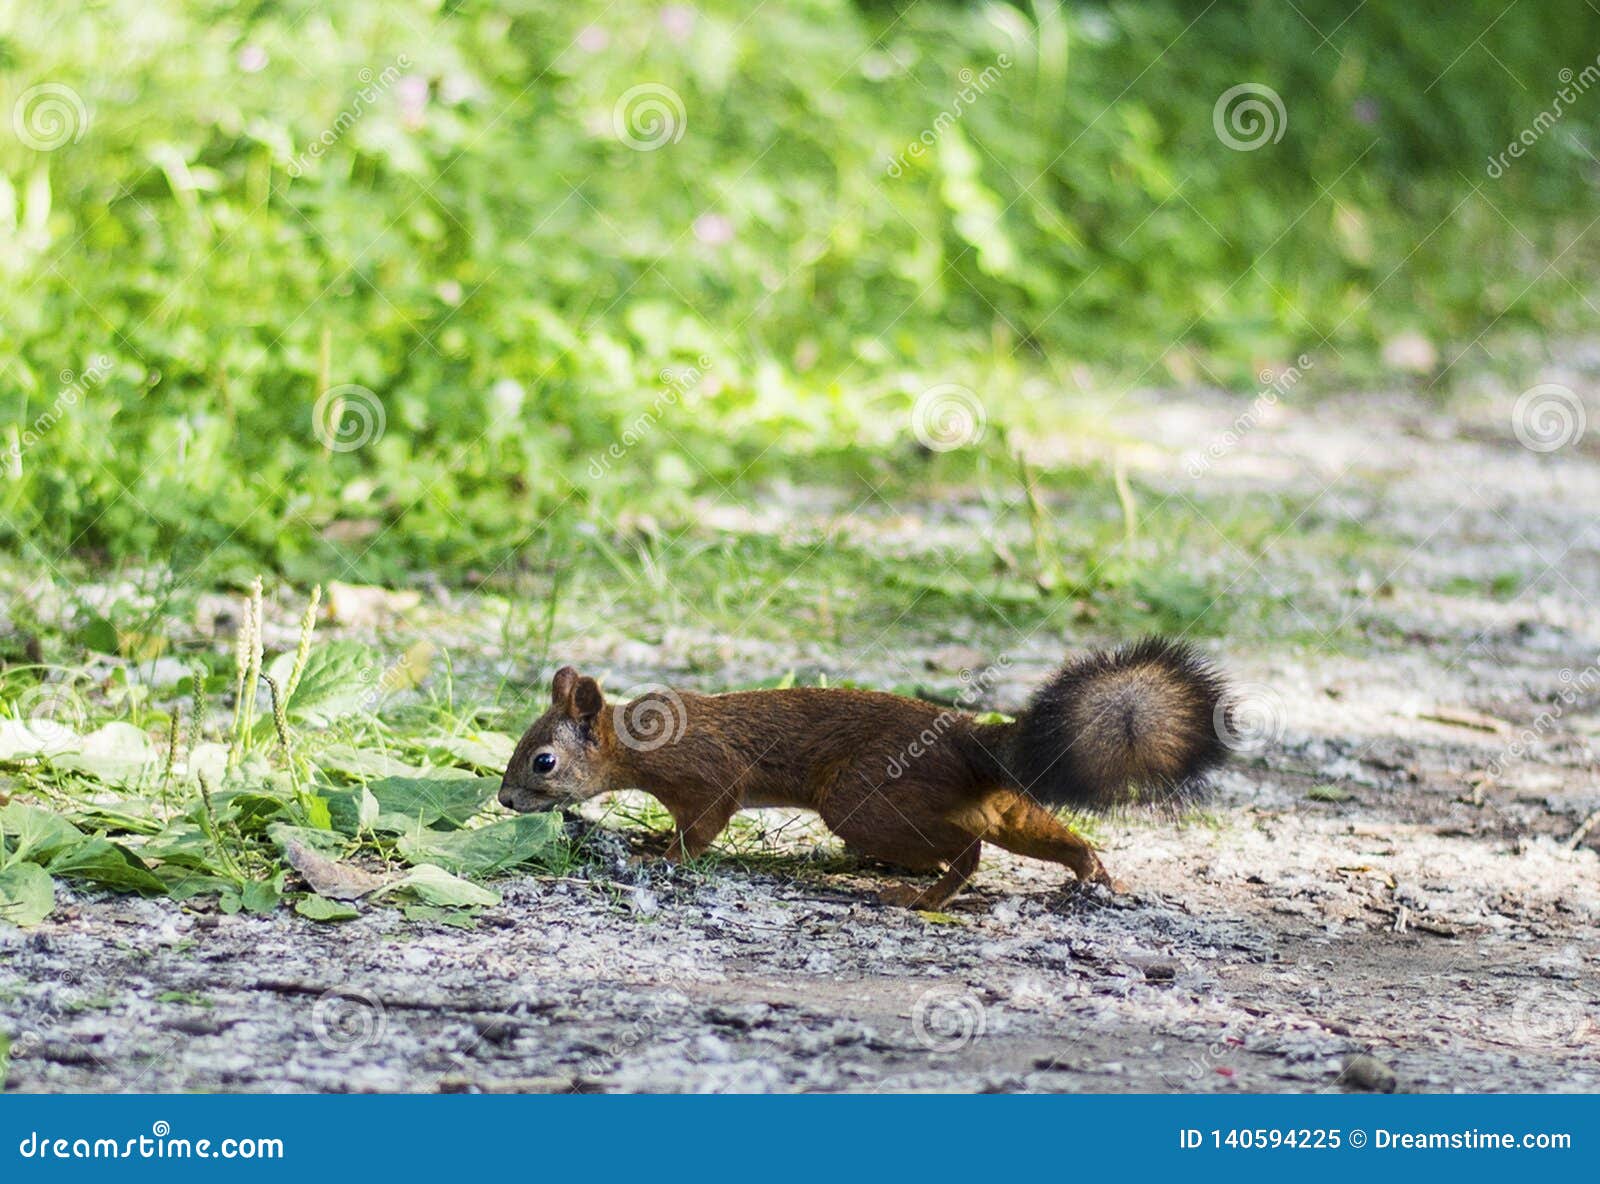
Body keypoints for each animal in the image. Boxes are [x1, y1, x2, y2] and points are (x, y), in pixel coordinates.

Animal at [498, 637, 1230, 909]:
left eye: (543, 761)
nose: (504, 802)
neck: (639, 743)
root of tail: (971, 741)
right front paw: (652, 839)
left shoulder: (709, 771)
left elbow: (705, 822)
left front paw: (665, 856)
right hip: (999, 806)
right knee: (1046, 835)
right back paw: (1092, 873)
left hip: (864, 801)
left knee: (967, 848)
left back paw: (922, 896)